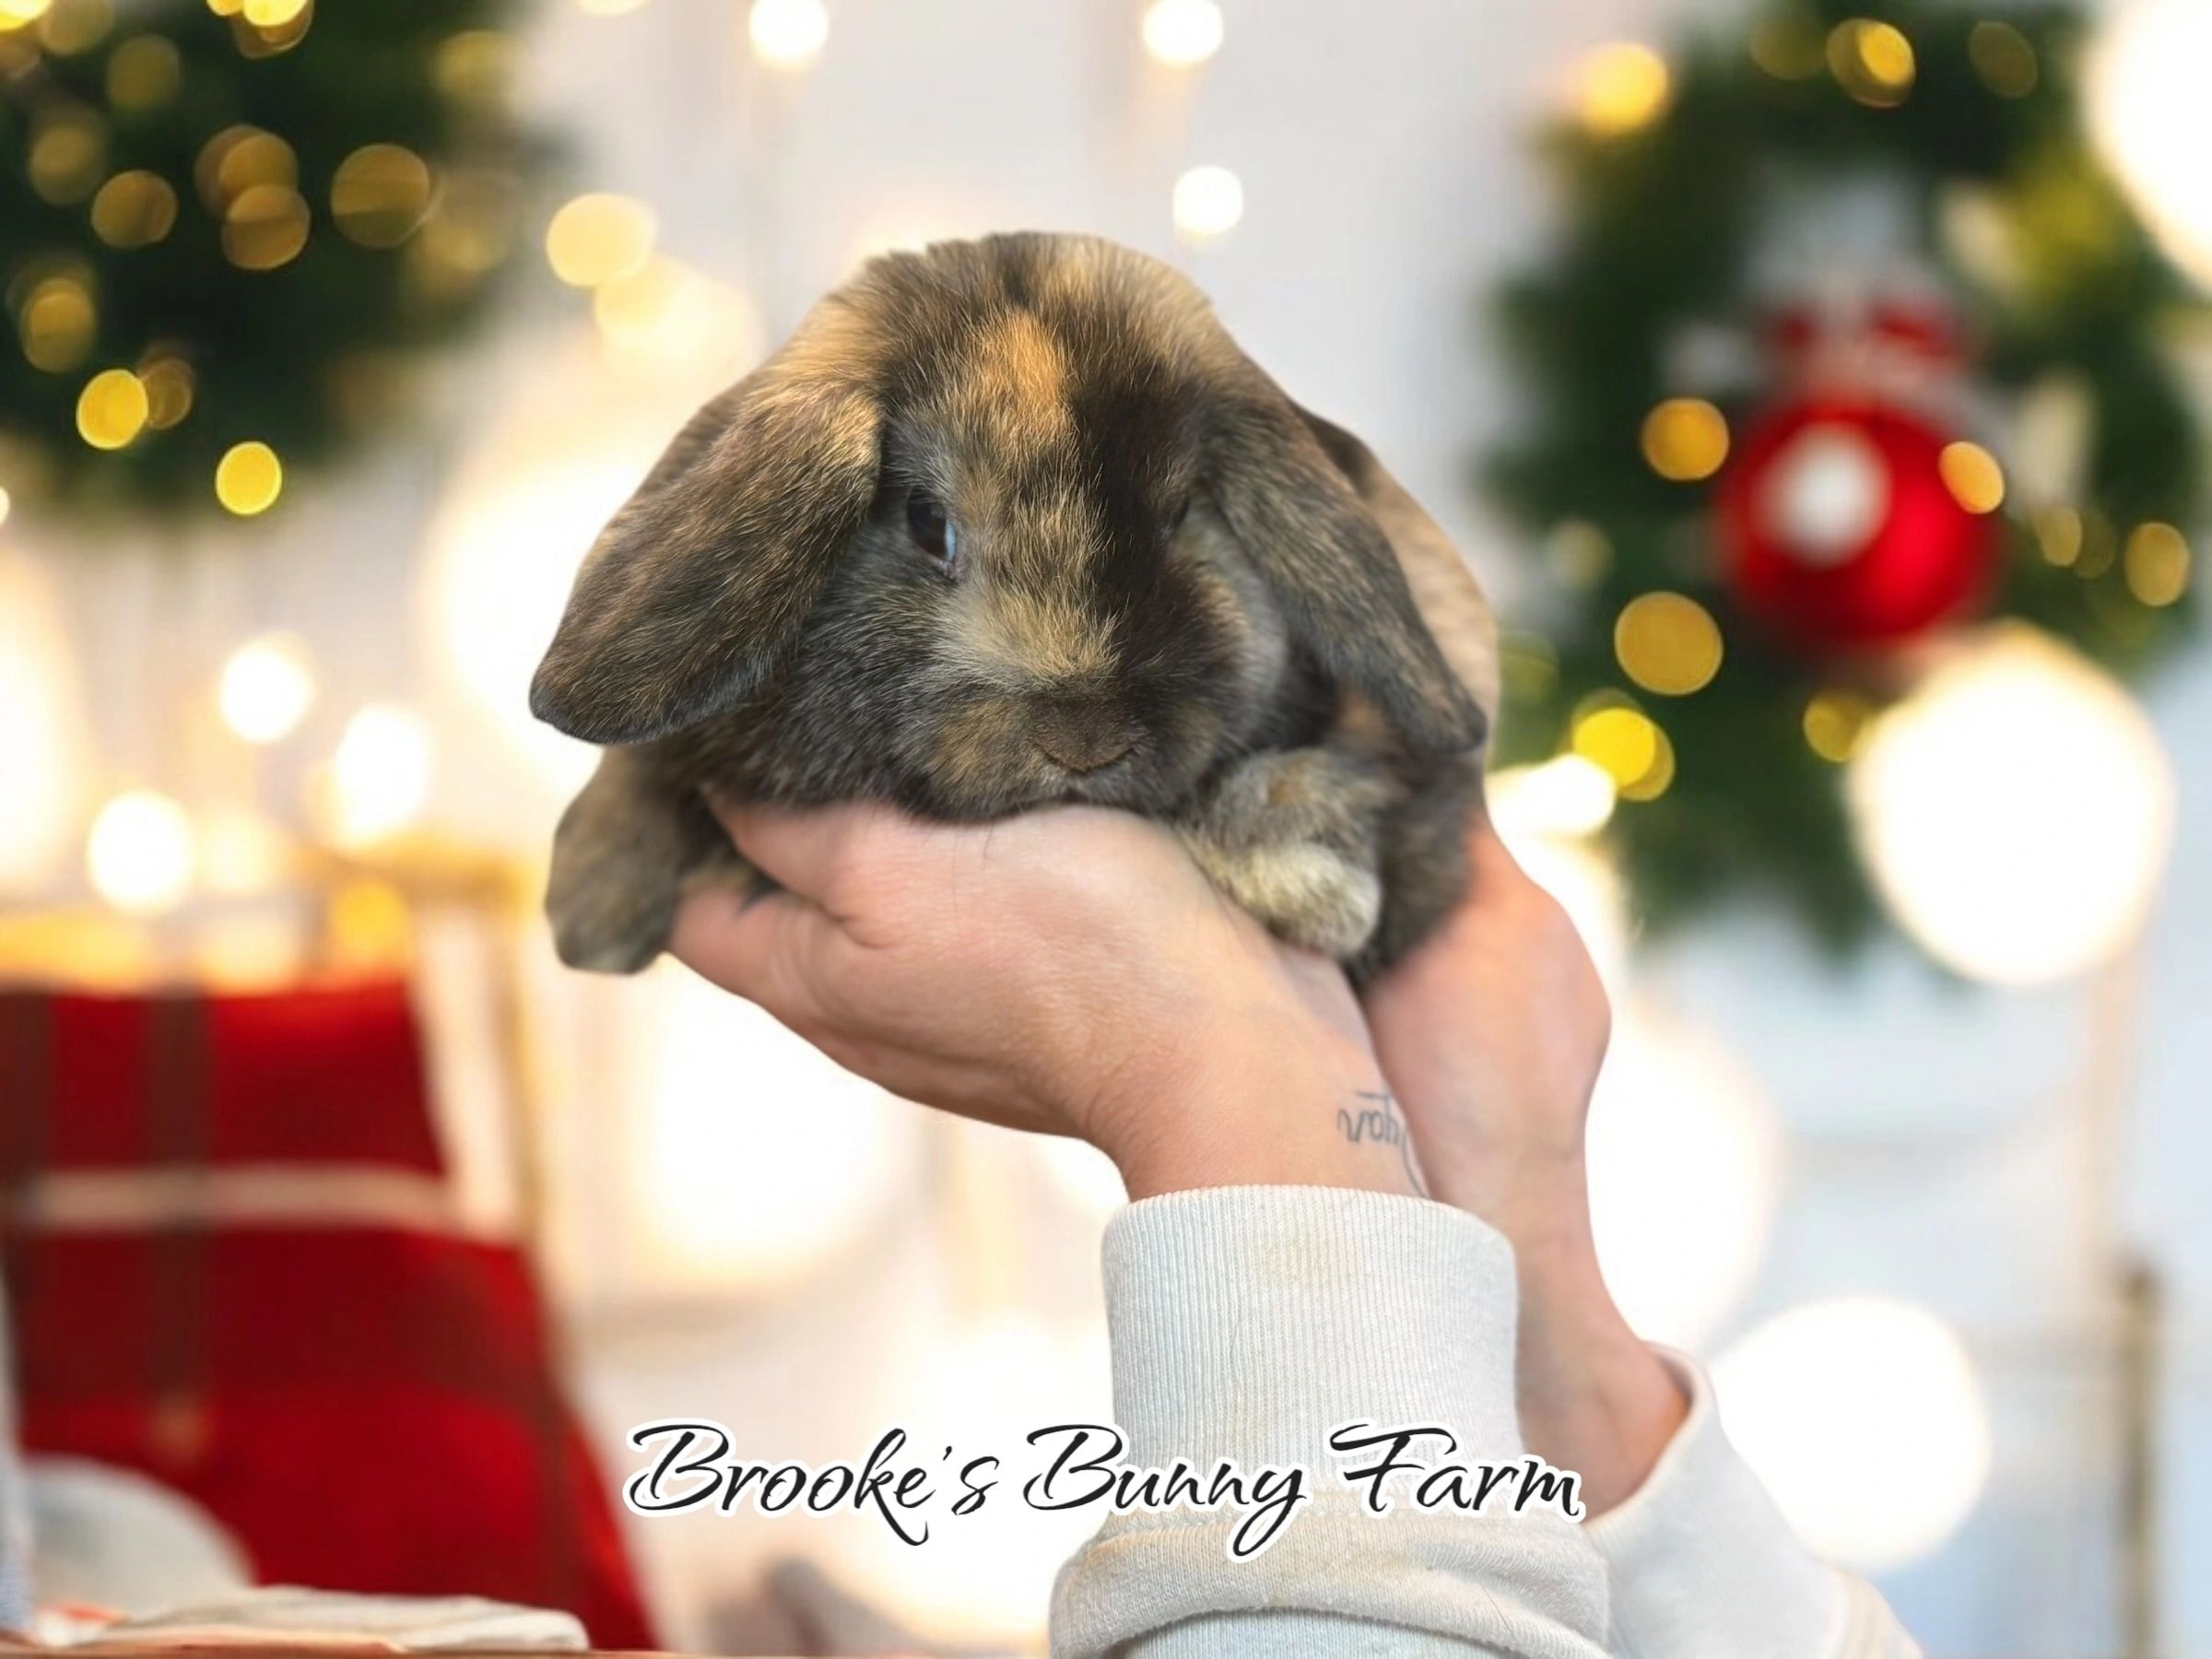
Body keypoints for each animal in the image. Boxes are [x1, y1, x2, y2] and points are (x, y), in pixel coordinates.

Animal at [530, 233, 1499, 983]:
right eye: (927, 521)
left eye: (1181, 513)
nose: (1084, 742)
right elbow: (642, 765)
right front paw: (593, 904)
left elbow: (1361, 773)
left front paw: (1297, 878)